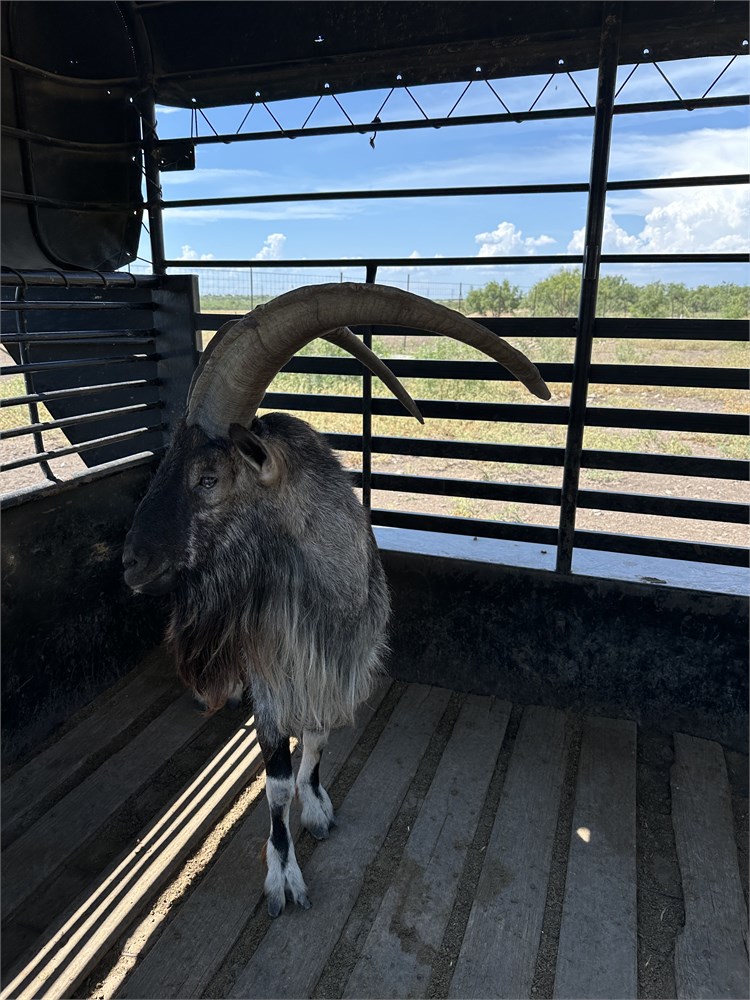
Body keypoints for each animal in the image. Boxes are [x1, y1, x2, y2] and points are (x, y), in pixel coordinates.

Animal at [123, 283, 549, 916]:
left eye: (207, 478)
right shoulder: (272, 680)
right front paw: (283, 877)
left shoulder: (335, 667)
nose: (130, 562)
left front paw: (318, 806)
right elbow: (274, 782)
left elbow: (319, 740)